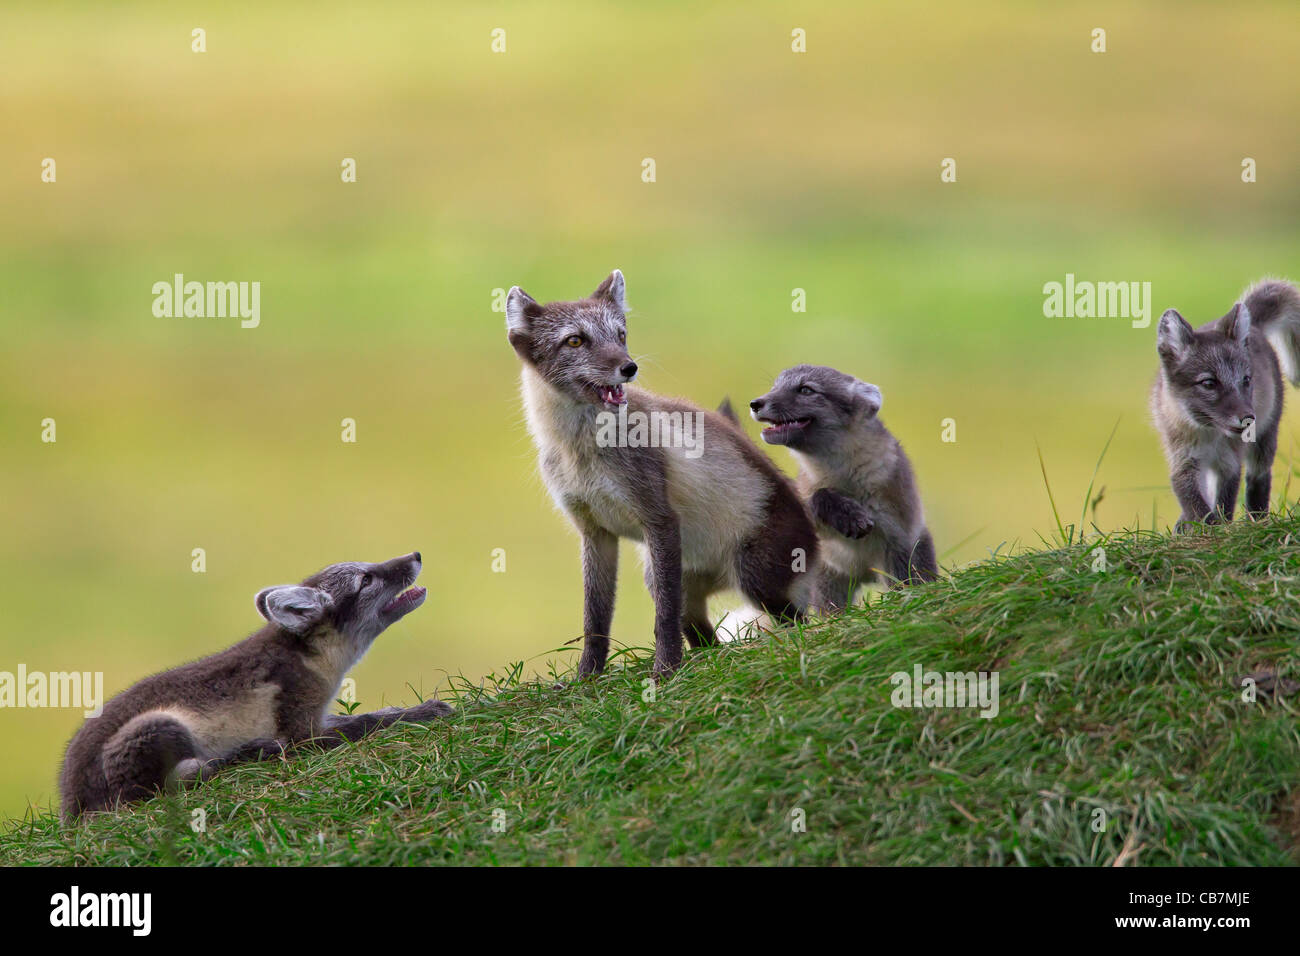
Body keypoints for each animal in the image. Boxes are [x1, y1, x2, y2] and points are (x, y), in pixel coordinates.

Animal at [59, 552, 452, 820]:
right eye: (366, 580)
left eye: (367, 569)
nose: (415, 555)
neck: (308, 656)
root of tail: (70, 806)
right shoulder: (302, 730)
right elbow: (366, 723)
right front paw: (425, 710)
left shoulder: (317, 717)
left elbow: (367, 715)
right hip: (160, 726)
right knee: (166, 786)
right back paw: (249, 752)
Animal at [504, 270, 819, 676]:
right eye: (575, 340)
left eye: (621, 335)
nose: (629, 367)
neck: (581, 452)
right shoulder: (594, 532)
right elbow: (594, 619)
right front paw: (587, 677)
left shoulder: (660, 518)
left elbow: (662, 619)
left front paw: (665, 671)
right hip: (661, 578)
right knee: (706, 638)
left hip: (754, 578)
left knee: (799, 623)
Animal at [750, 365, 938, 612]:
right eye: (774, 386)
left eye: (806, 390)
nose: (755, 403)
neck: (842, 475)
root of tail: (864, 574)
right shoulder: (805, 497)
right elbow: (817, 496)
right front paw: (850, 517)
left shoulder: (898, 536)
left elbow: (904, 581)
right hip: (826, 580)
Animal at [1152, 278, 1300, 530]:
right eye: (1209, 383)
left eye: (1246, 380)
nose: (1248, 418)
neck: (1209, 435)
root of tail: (1254, 328)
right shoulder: (1183, 460)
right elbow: (1195, 504)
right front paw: (1201, 527)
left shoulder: (1229, 464)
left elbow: (1224, 504)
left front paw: (1220, 528)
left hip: (1265, 439)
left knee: (1259, 478)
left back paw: (1257, 518)